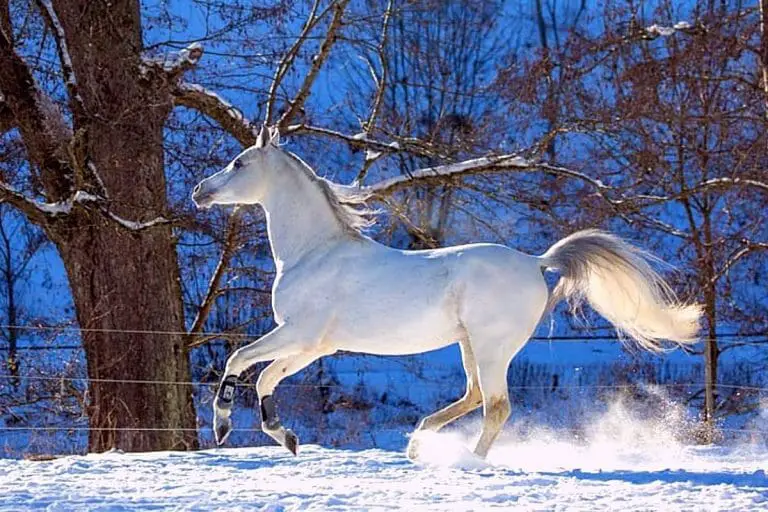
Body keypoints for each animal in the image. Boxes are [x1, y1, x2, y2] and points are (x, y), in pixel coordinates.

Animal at [192, 127, 701, 460]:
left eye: (239, 163)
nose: (199, 191)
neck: (313, 252)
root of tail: (537, 262)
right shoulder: (315, 345)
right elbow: (266, 378)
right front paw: (286, 437)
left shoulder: (298, 333)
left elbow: (240, 361)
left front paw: (222, 424)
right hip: (468, 345)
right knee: (474, 397)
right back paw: (418, 443)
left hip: (492, 348)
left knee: (496, 406)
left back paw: (467, 462)